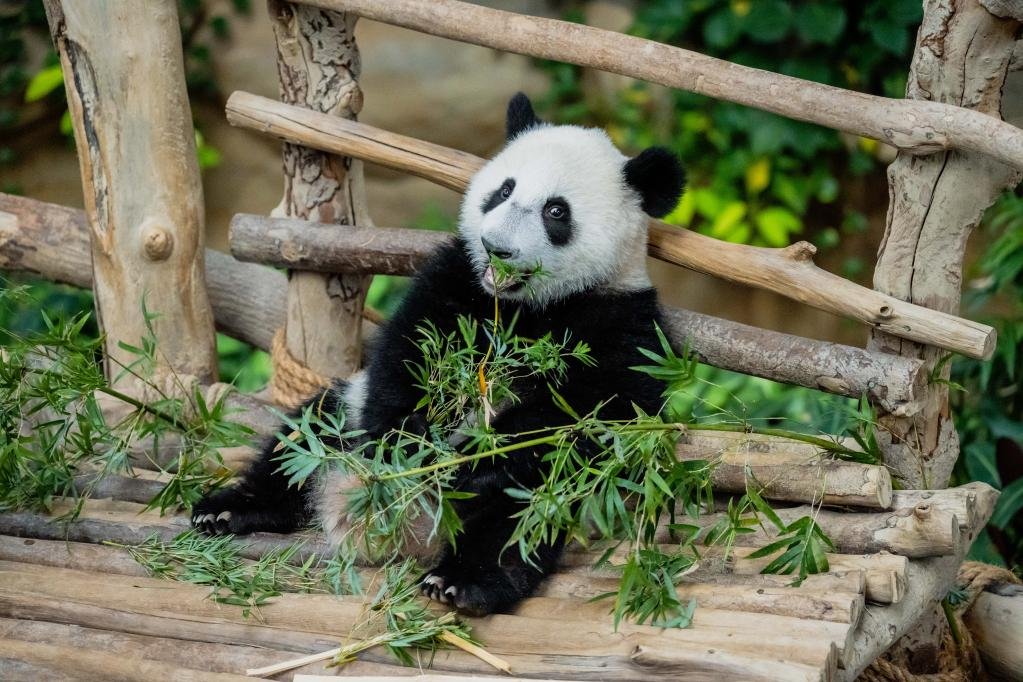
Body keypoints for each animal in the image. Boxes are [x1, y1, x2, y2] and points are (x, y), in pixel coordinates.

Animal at [192, 93, 685, 616]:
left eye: (556, 211)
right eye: (503, 190)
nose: (497, 248)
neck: (522, 306)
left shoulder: (620, 324)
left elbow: (586, 412)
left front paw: (473, 455)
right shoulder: (456, 280)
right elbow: (407, 354)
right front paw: (408, 444)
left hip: (560, 491)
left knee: (518, 520)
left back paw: (460, 580)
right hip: (341, 415)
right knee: (299, 443)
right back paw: (229, 509)